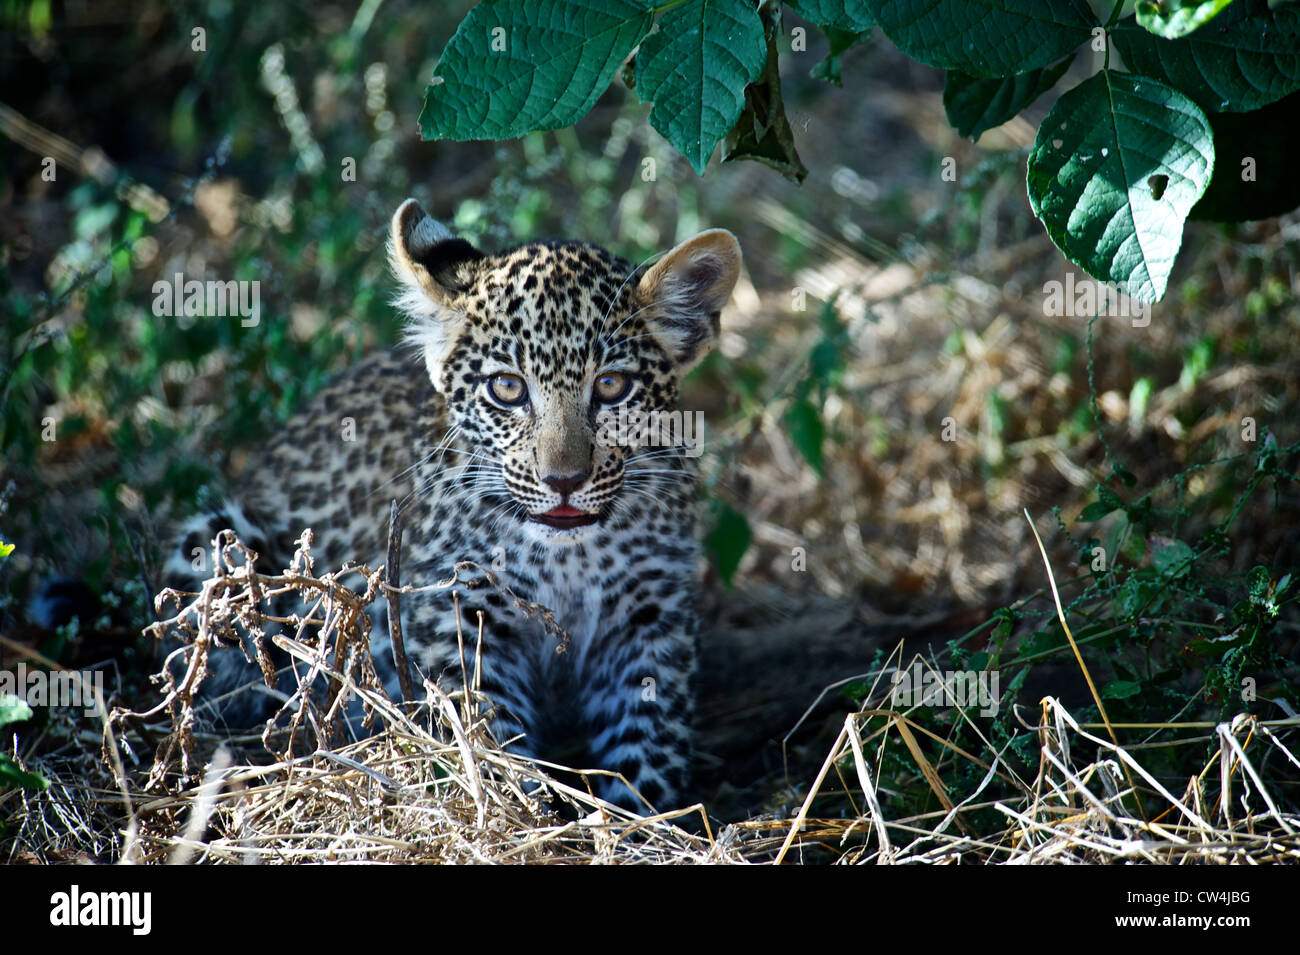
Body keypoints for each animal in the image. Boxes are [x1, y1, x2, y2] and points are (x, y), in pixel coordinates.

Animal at [161, 198, 742, 811]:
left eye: (611, 387)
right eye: (507, 389)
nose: (563, 480)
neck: (571, 559)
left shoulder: (648, 622)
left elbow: (648, 748)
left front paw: (632, 816)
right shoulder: (460, 614)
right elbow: (484, 732)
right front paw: (524, 810)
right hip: (216, 540)